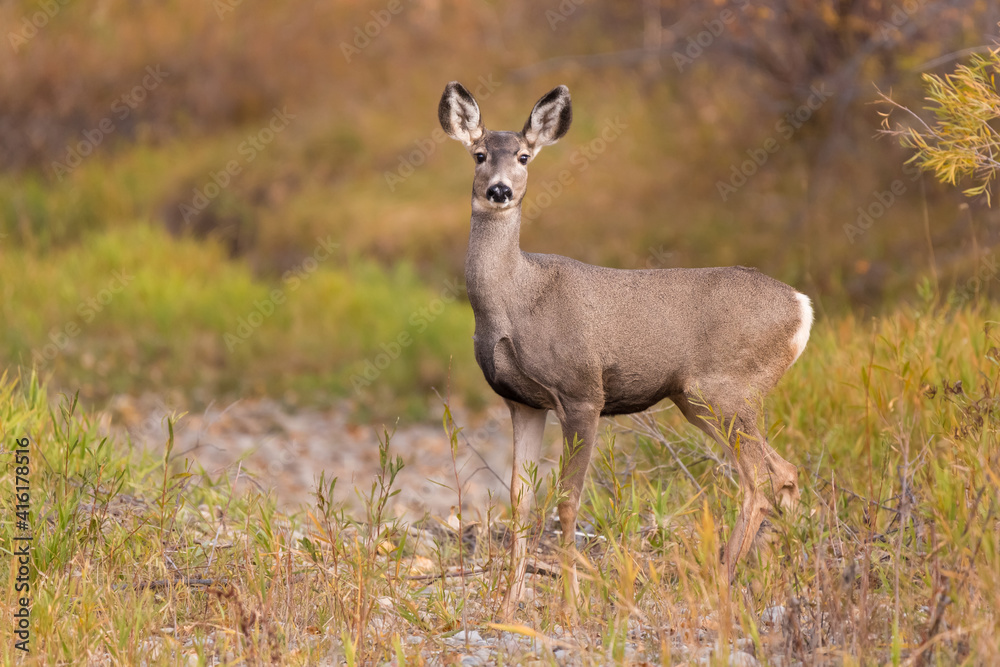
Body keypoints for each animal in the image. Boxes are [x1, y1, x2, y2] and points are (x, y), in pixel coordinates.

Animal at [438, 81, 813, 619]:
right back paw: (786, 576)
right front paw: (507, 609)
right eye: (479, 154)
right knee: (781, 474)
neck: (516, 298)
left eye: (525, 157)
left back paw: (721, 586)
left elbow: (566, 502)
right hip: (696, 399)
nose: (500, 190)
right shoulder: (522, 401)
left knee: (763, 479)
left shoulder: (582, 393)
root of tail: (803, 308)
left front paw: (570, 607)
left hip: (726, 390)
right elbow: (519, 501)